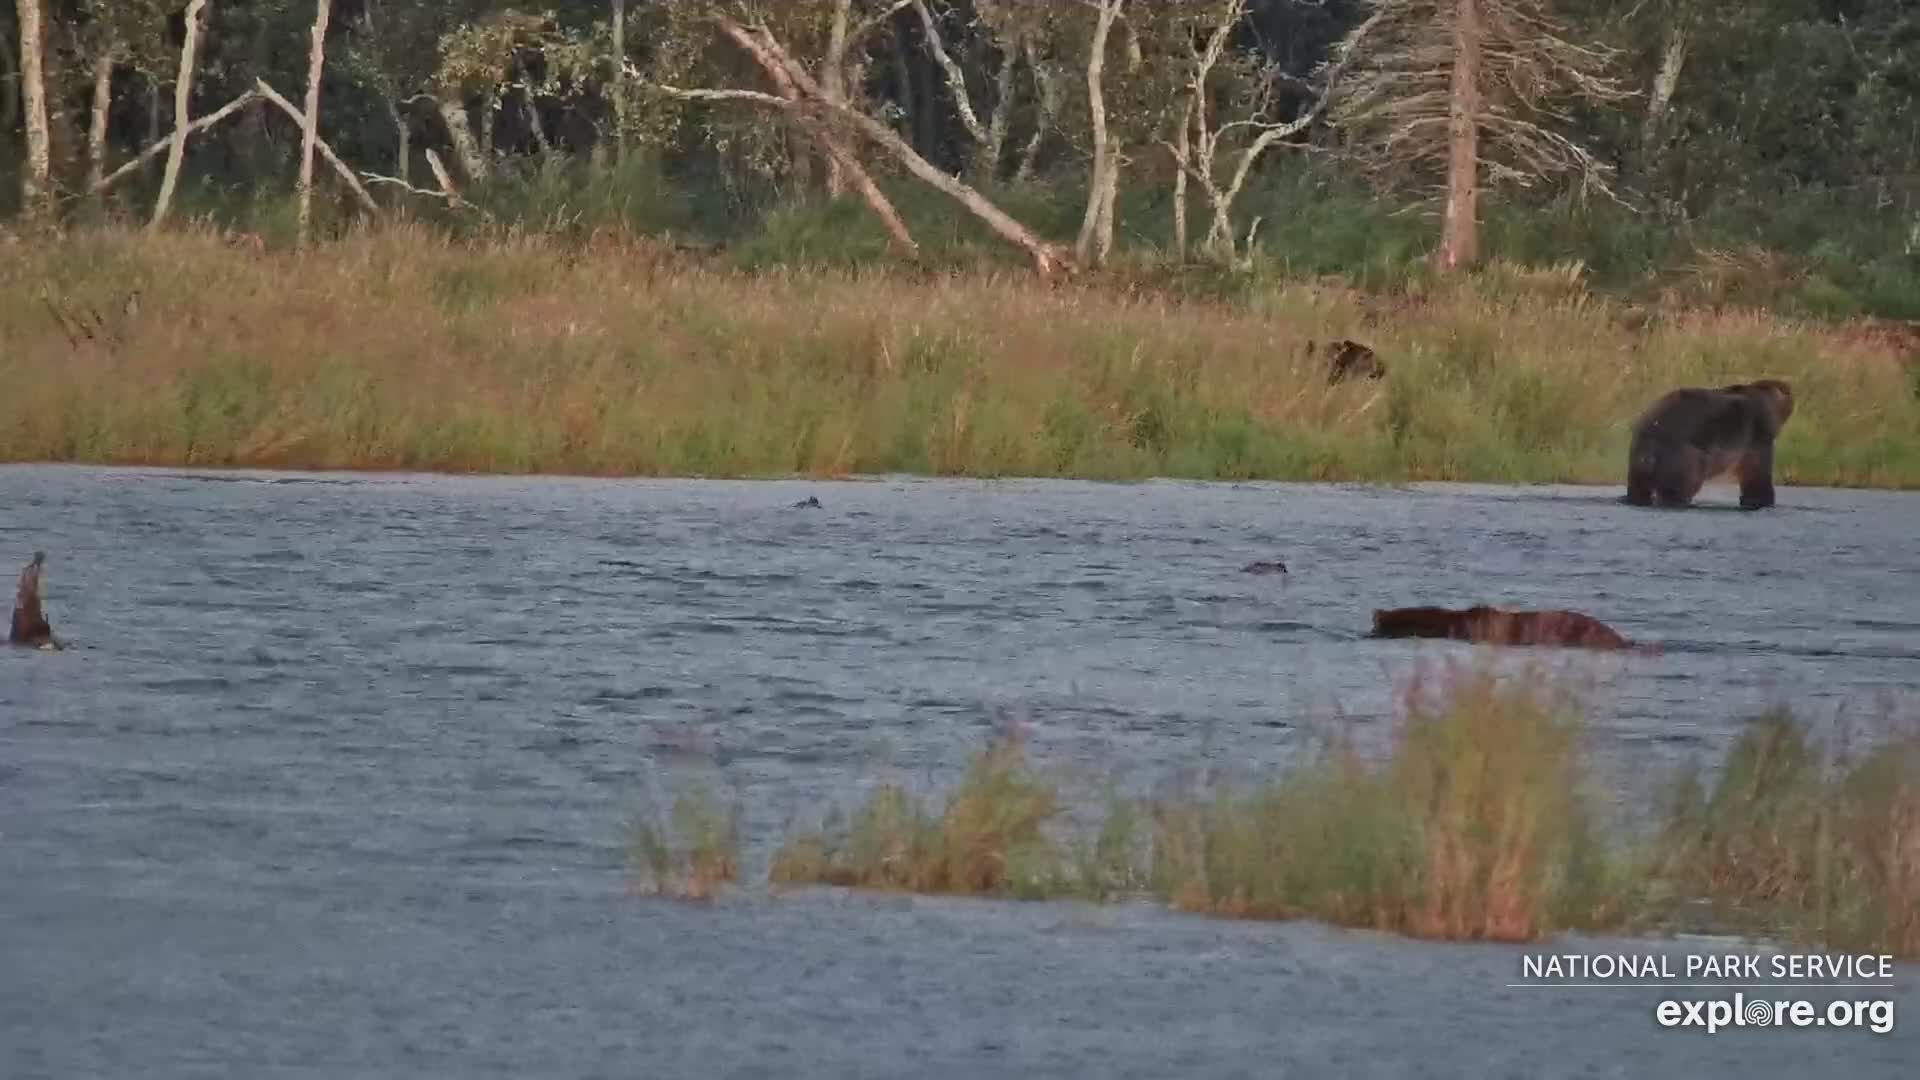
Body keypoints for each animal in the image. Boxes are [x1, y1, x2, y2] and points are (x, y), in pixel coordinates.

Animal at [1624, 379, 1794, 510]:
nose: (1789, 389)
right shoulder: (1758, 433)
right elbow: (1757, 472)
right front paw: (1761, 500)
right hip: (1683, 457)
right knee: (1678, 487)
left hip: (1638, 459)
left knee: (1639, 488)